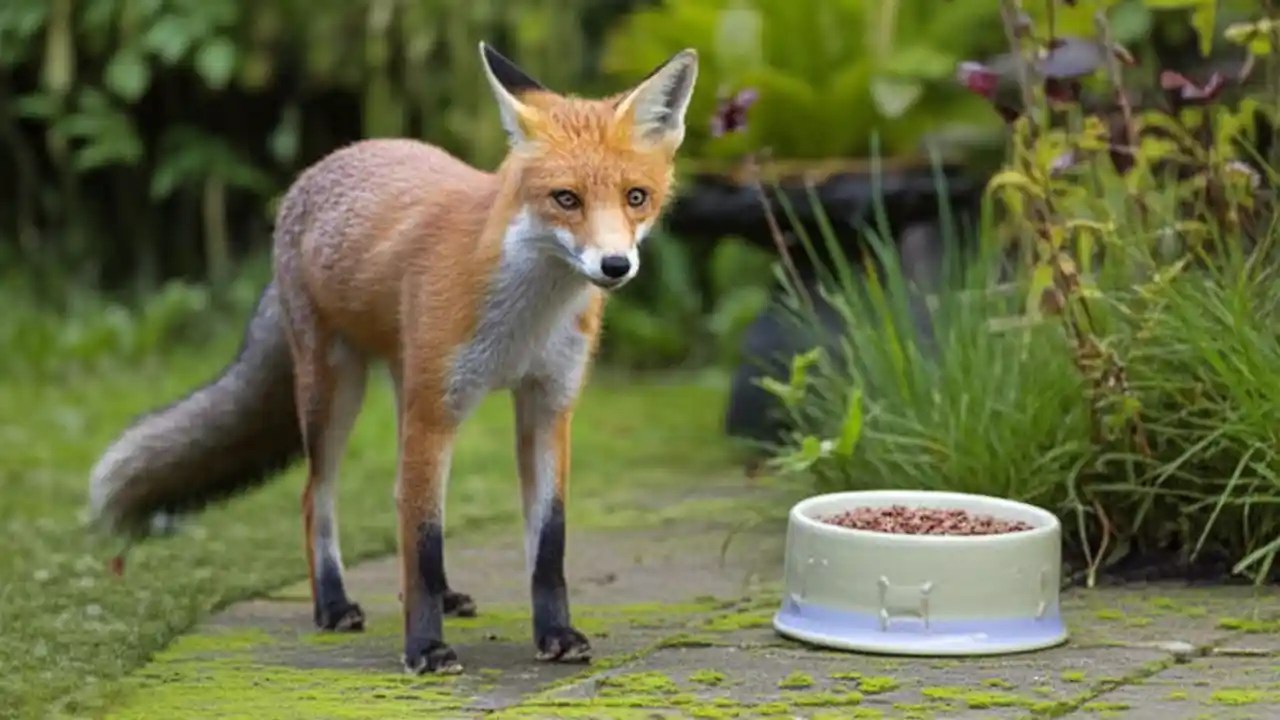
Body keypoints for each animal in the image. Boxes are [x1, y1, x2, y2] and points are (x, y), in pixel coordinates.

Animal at [87, 42, 699, 674]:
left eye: (636, 197)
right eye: (566, 199)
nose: (615, 266)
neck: (527, 319)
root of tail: (334, 158)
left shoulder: (548, 405)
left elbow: (546, 541)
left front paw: (555, 633)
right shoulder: (435, 408)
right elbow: (422, 536)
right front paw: (424, 648)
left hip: (406, 389)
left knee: (400, 498)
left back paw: (442, 594)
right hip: (335, 391)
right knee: (317, 498)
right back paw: (334, 605)